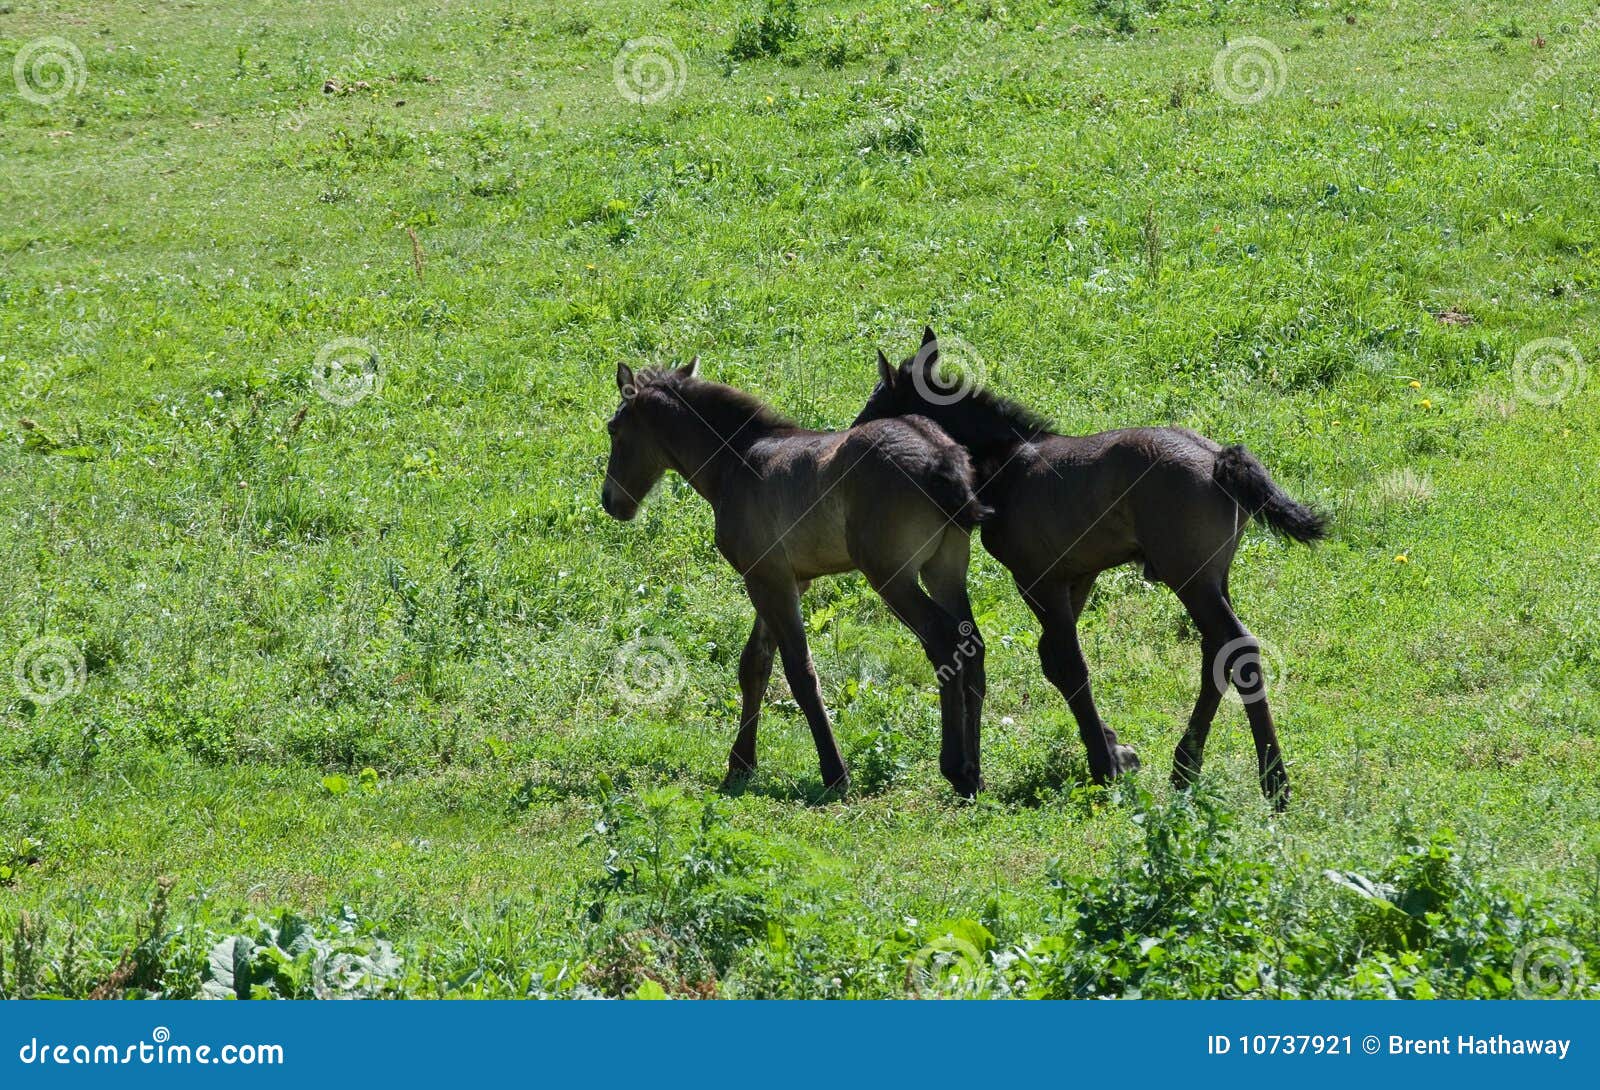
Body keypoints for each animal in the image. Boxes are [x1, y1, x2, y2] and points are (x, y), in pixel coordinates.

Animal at [601, 357, 993, 798]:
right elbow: (754, 665)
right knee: (972, 642)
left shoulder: (766, 579)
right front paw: (740, 764)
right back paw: (975, 770)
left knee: (944, 640)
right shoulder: (785, 578)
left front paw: (834, 772)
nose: (610, 501)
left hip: (892, 576)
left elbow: (798, 671)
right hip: (945, 568)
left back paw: (956, 768)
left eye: (613, 429)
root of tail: (942, 459)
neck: (735, 462)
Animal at [852, 328, 1327, 810]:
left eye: (876, 400)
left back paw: (1275, 783)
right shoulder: (1076, 578)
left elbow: (1068, 663)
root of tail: (1217, 460)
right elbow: (1052, 659)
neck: (1009, 463)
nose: (853, 434)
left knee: (1238, 647)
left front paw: (1104, 764)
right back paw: (1184, 768)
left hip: (1191, 579)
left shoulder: (1036, 579)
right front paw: (1116, 748)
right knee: (1216, 651)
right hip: (1213, 578)